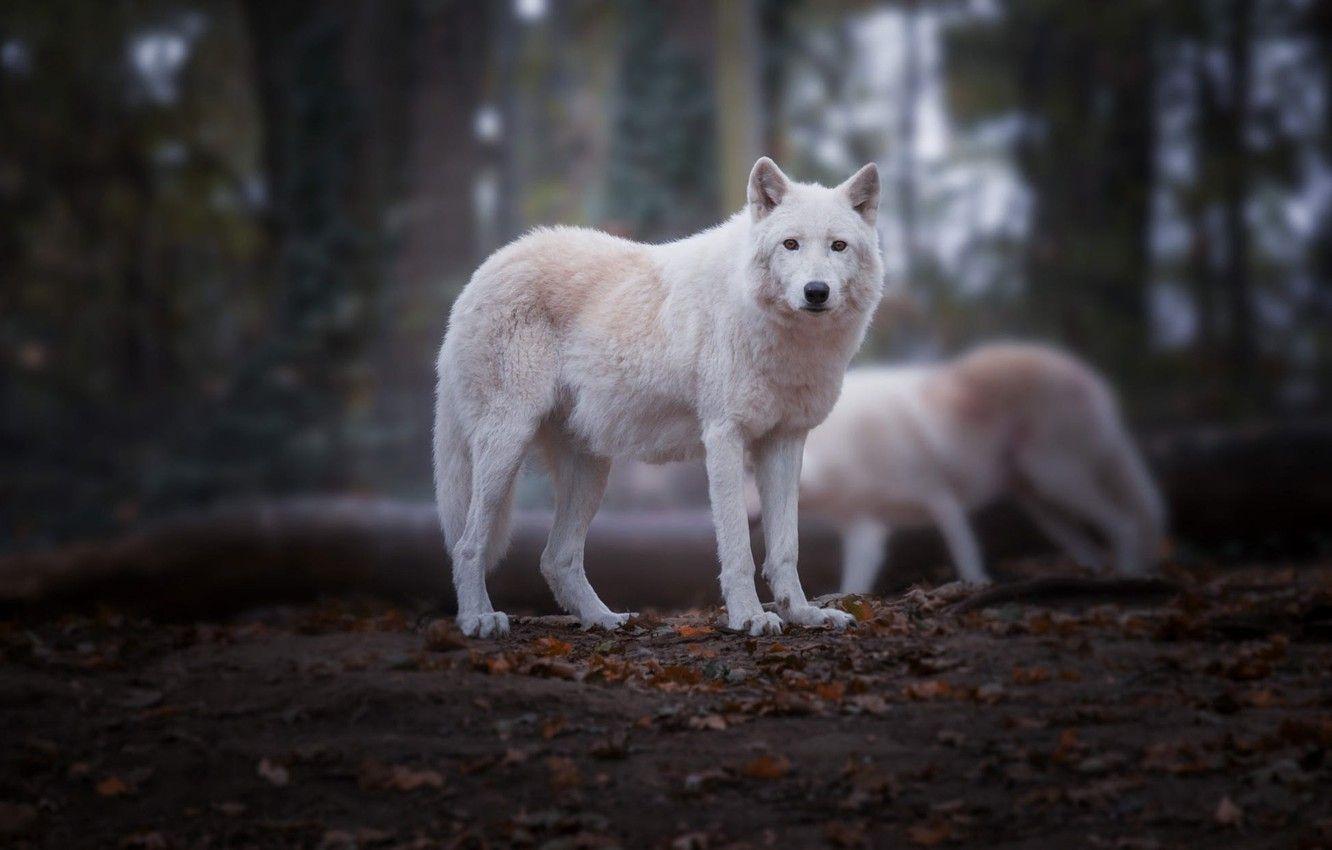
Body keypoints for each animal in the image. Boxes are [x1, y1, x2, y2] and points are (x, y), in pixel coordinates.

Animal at [434, 158, 884, 637]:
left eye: (838, 246)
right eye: (791, 244)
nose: (816, 291)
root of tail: (482, 272)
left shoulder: (784, 441)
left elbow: (785, 549)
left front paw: (802, 614)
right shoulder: (723, 437)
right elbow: (738, 549)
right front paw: (749, 616)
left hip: (590, 470)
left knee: (556, 559)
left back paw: (604, 619)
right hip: (506, 447)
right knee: (467, 546)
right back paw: (478, 618)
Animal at [799, 344, 1165, 592]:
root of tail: (1090, 376)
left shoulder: (941, 498)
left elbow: (966, 555)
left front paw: (976, 586)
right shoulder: (864, 525)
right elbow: (855, 583)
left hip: (1056, 478)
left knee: (1125, 525)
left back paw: (1129, 574)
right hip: (1043, 505)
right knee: (1093, 549)